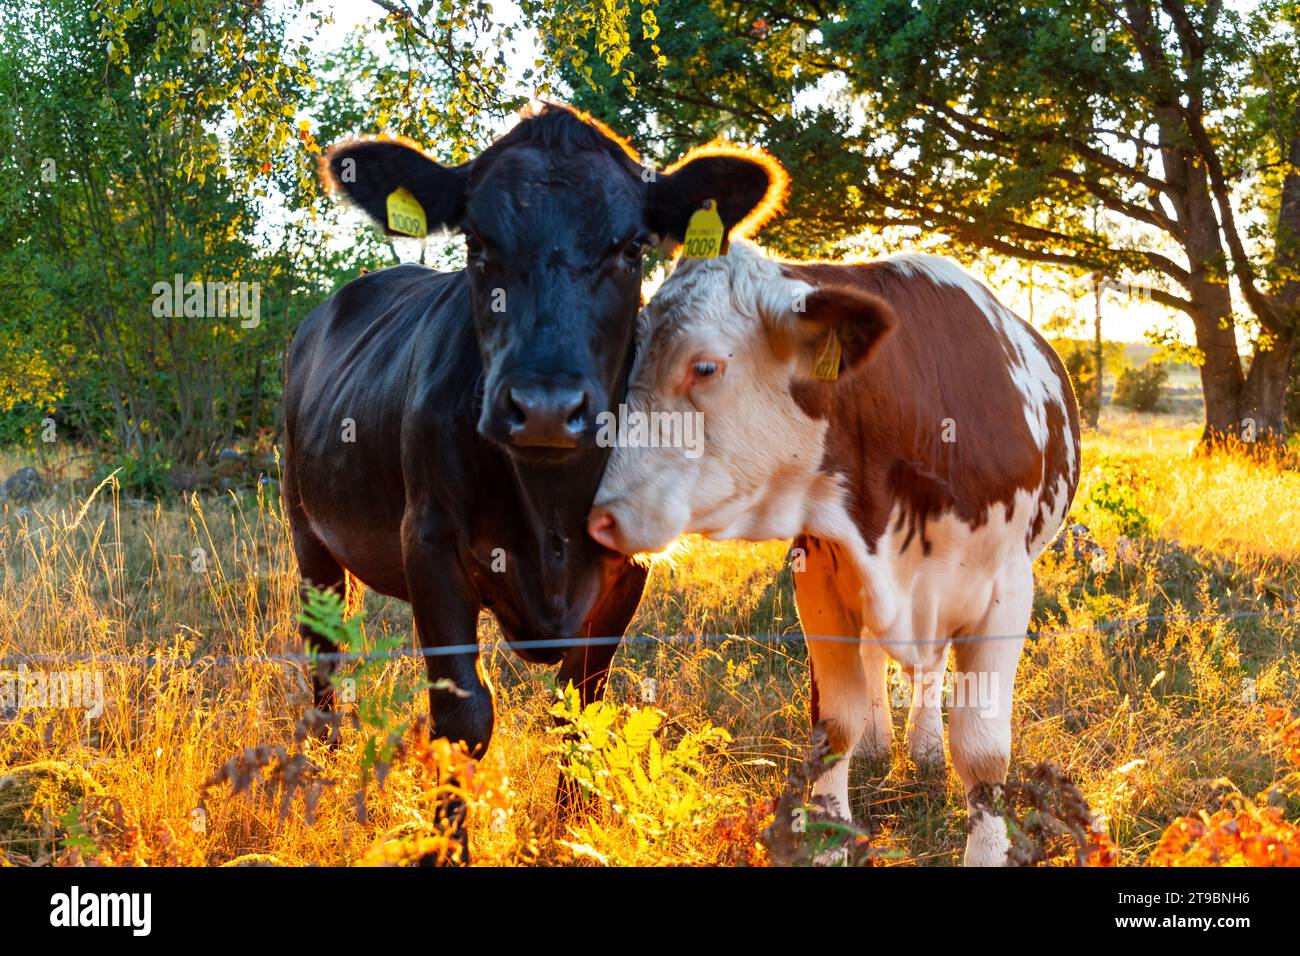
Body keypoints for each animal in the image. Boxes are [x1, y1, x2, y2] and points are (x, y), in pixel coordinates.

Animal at [284, 105, 778, 855]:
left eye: (631, 248)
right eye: (477, 244)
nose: (545, 406)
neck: (551, 509)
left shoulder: (629, 564)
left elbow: (583, 708)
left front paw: (574, 828)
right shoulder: (429, 545)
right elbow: (462, 722)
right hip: (307, 530)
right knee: (322, 655)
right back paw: (323, 763)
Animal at [587, 150, 1081, 866]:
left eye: (704, 367)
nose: (601, 515)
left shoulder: (1004, 591)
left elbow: (984, 752)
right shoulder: (820, 570)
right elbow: (835, 724)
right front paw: (830, 826)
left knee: (929, 673)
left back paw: (921, 746)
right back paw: (882, 740)